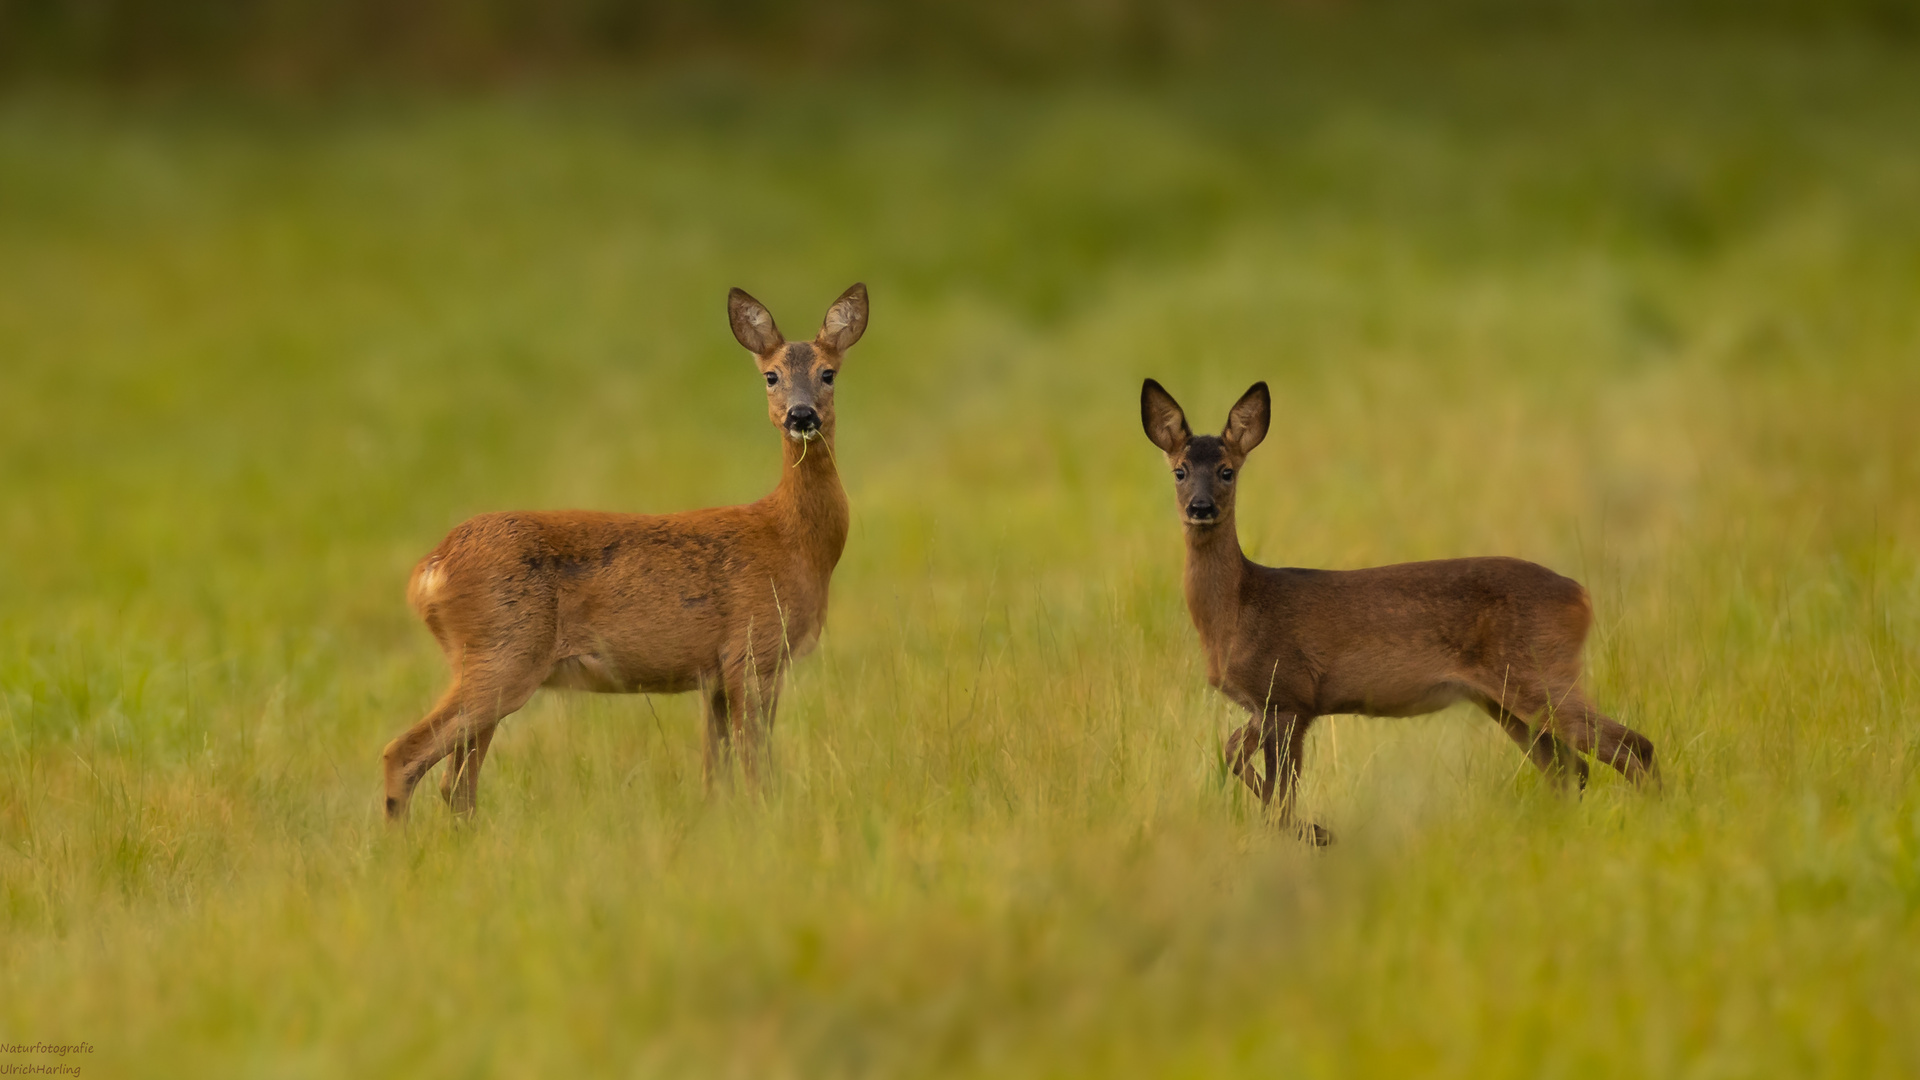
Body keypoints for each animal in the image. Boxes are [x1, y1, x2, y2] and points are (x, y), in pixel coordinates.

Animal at [382, 284, 871, 814]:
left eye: (828, 373)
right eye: (771, 376)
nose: (801, 416)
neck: (793, 541)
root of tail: (429, 569)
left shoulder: (717, 673)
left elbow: (715, 774)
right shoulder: (755, 650)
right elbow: (756, 767)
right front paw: (766, 814)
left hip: (484, 659)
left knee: (455, 784)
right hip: (504, 653)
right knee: (404, 756)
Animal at [1128, 378, 1658, 841]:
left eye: (1227, 471)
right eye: (1179, 470)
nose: (1200, 508)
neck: (1237, 612)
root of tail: (1581, 596)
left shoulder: (1289, 693)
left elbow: (1278, 795)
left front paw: (1313, 834)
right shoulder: (1274, 704)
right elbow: (1233, 754)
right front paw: (1315, 831)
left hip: (1541, 673)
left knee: (1631, 746)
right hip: (1505, 699)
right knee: (1573, 768)